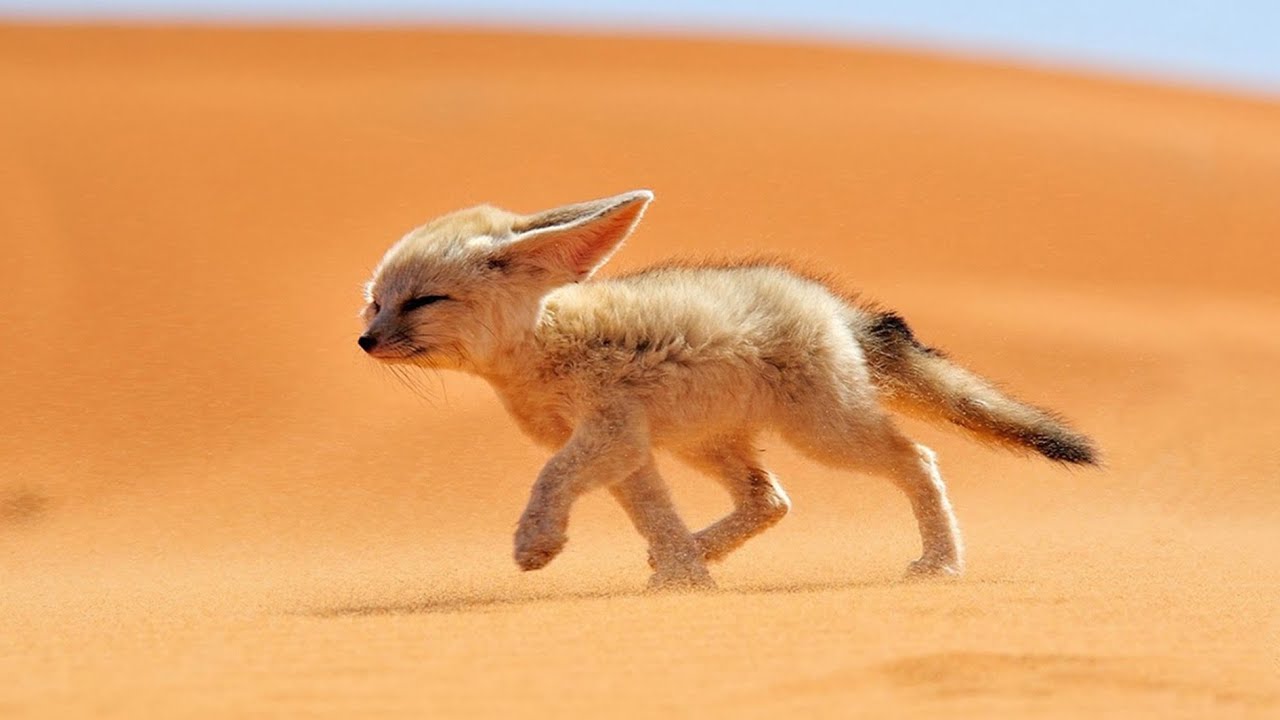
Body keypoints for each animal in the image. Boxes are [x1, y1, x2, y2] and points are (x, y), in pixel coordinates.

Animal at [358, 190, 1097, 590]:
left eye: (422, 302)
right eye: (375, 303)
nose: (365, 341)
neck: (545, 344)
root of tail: (830, 304)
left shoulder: (608, 435)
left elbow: (550, 478)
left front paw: (536, 543)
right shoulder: (628, 450)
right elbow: (653, 514)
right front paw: (685, 578)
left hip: (826, 435)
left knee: (918, 459)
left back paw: (941, 562)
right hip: (706, 444)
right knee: (770, 500)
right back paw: (696, 552)